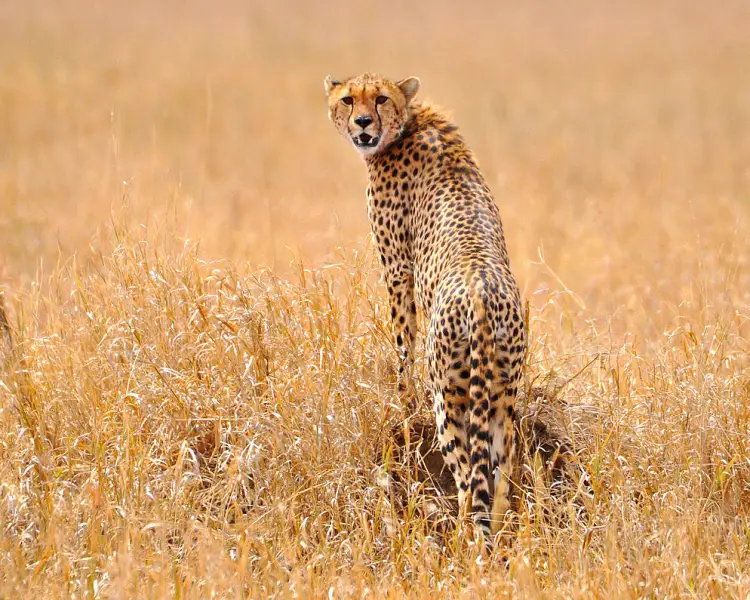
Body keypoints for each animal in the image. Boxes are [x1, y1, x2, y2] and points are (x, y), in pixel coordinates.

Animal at [324, 72, 527, 542]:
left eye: (380, 98)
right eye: (349, 99)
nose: (363, 123)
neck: (409, 123)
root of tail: (481, 296)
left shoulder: (398, 271)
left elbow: (402, 351)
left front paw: (402, 409)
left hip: (449, 395)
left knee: (469, 479)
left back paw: (464, 538)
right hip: (502, 395)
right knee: (500, 477)